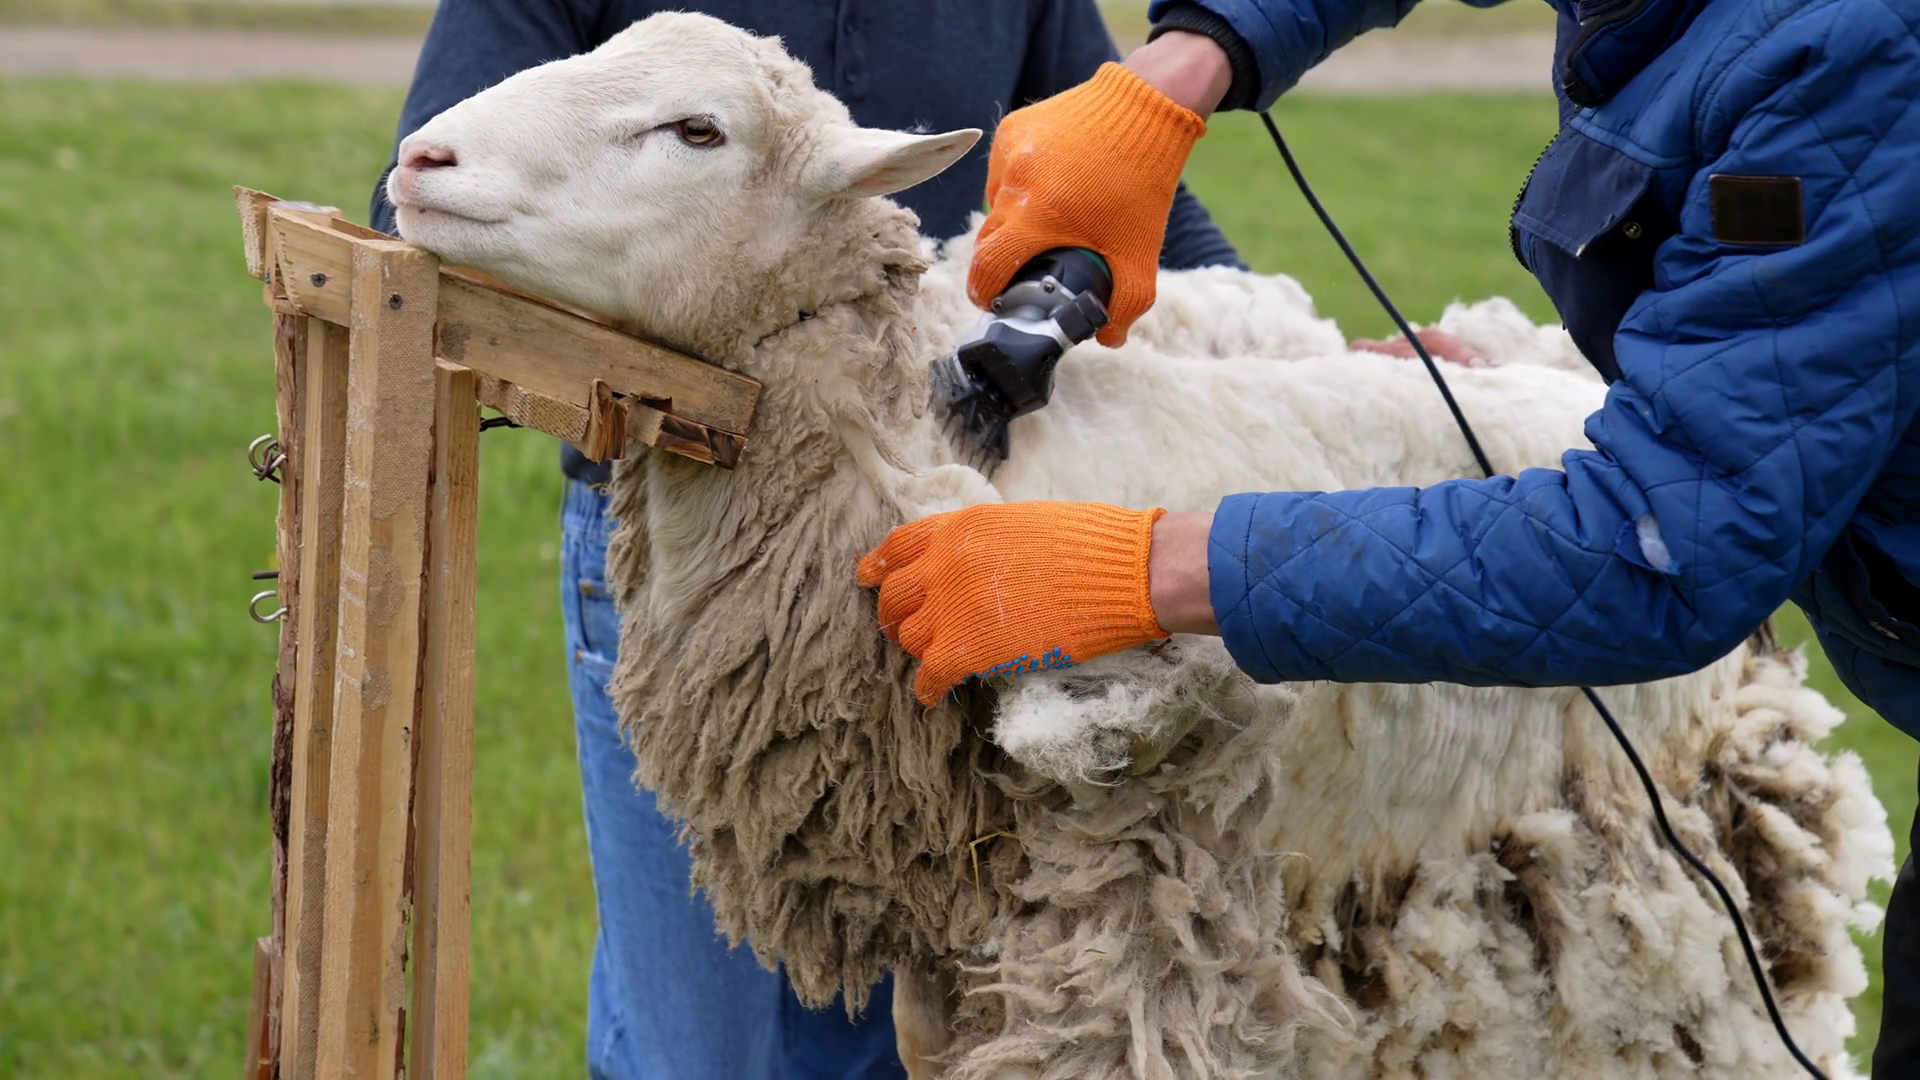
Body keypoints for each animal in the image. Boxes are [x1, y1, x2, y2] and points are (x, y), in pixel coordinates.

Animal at [383, 13, 1894, 1078]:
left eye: (696, 130)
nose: (419, 160)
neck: (916, 457)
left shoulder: (1128, 925)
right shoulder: (954, 960)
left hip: (1666, 902)